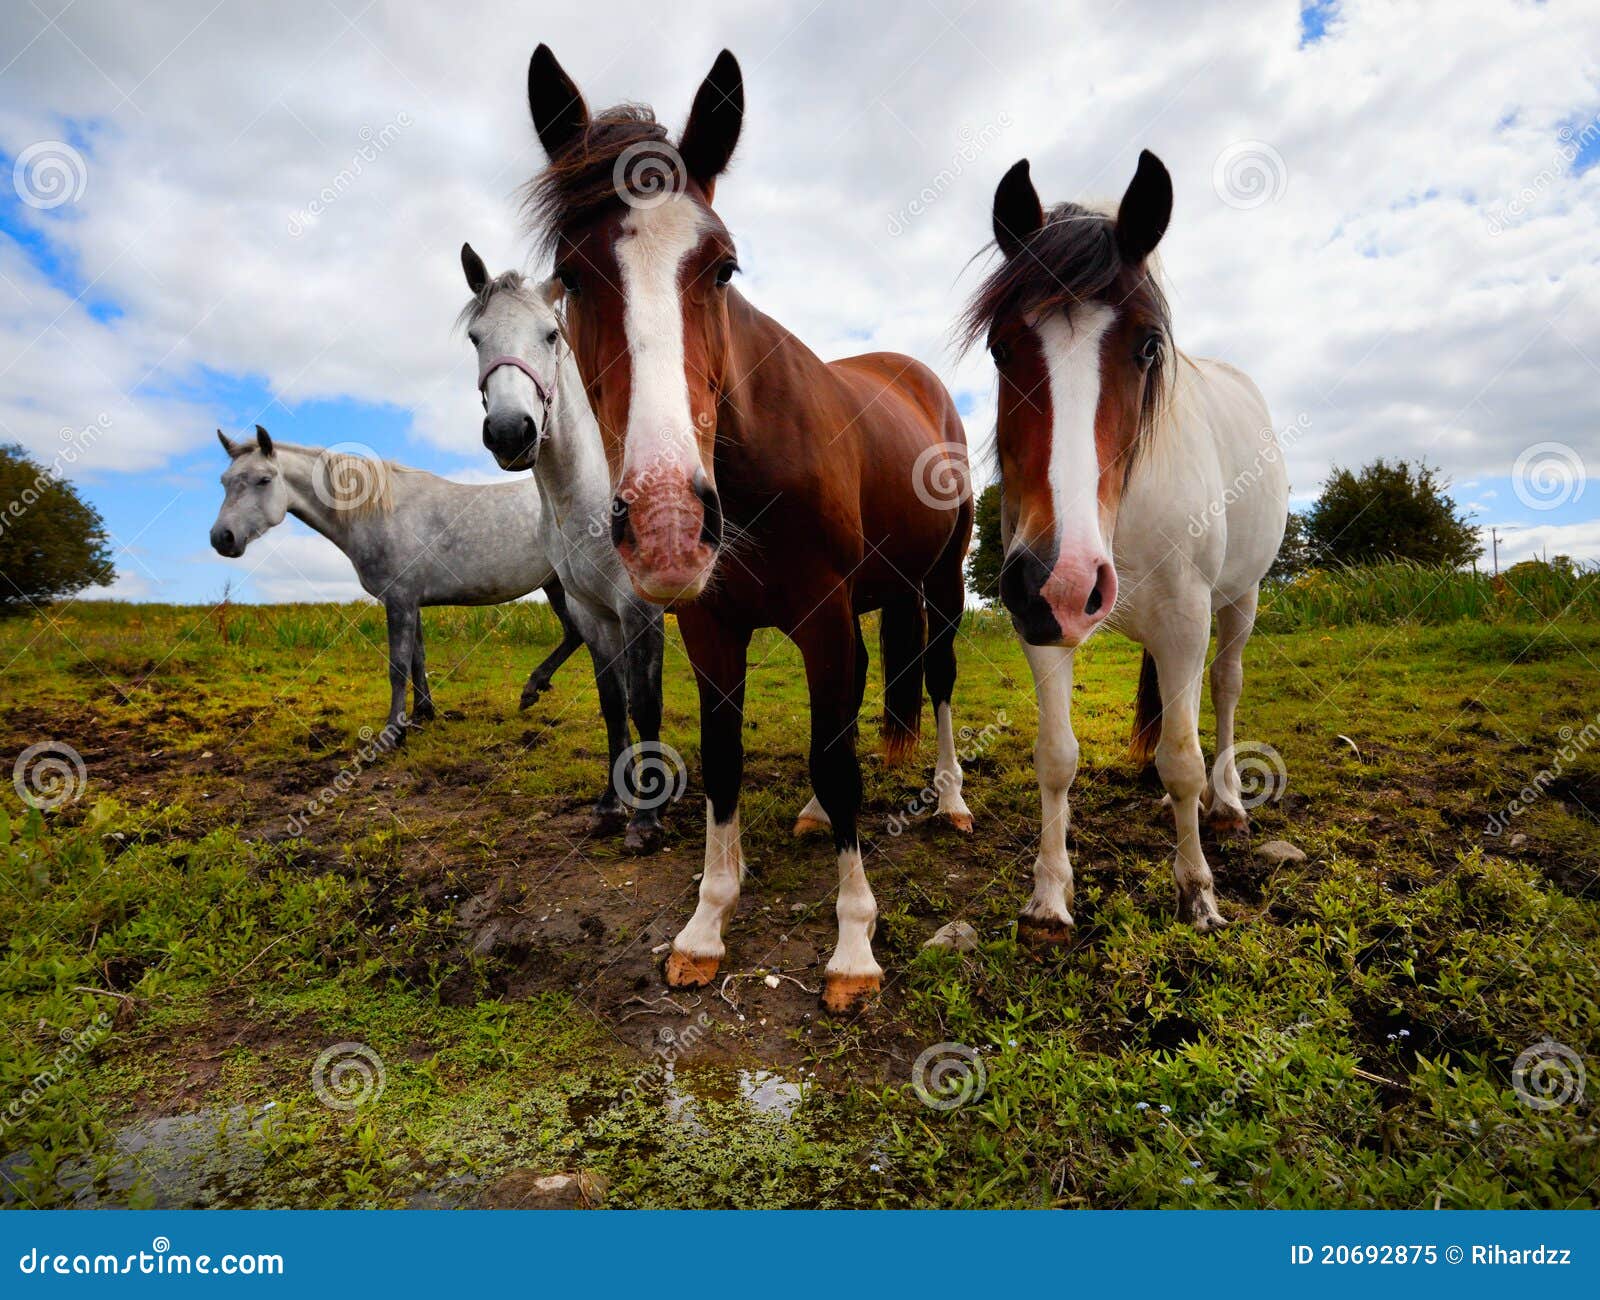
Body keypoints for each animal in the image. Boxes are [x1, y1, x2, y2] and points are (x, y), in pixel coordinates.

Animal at [209, 426, 584, 737]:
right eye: (225, 481)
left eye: (264, 479)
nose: (222, 538)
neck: (381, 514)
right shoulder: (410, 602)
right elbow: (418, 659)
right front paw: (422, 714)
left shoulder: (400, 600)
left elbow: (398, 666)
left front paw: (393, 732)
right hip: (556, 585)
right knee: (573, 634)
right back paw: (532, 689)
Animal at [457, 244, 671, 853]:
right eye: (476, 337)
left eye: (551, 334)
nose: (511, 432)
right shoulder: (593, 612)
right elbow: (612, 704)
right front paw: (610, 806)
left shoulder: (640, 609)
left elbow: (644, 702)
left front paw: (647, 819)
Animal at [521, 46, 974, 1012]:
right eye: (571, 275)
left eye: (722, 267)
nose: (667, 525)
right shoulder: (711, 625)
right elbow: (727, 760)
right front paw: (706, 924)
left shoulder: (825, 615)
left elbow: (841, 758)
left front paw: (853, 944)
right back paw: (810, 814)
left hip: (941, 585)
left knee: (939, 680)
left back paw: (951, 799)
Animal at [962, 152, 1288, 941]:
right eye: (1002, 347)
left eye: (1147, 345)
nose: (1062, 576)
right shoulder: (1040, 623)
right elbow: (1058, 757)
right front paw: (1049, 895)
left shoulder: (1185, 620)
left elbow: (1184, 757)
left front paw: (1198, 892)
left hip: (1238, 600)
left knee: (1223, 691)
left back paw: (1228, 806)